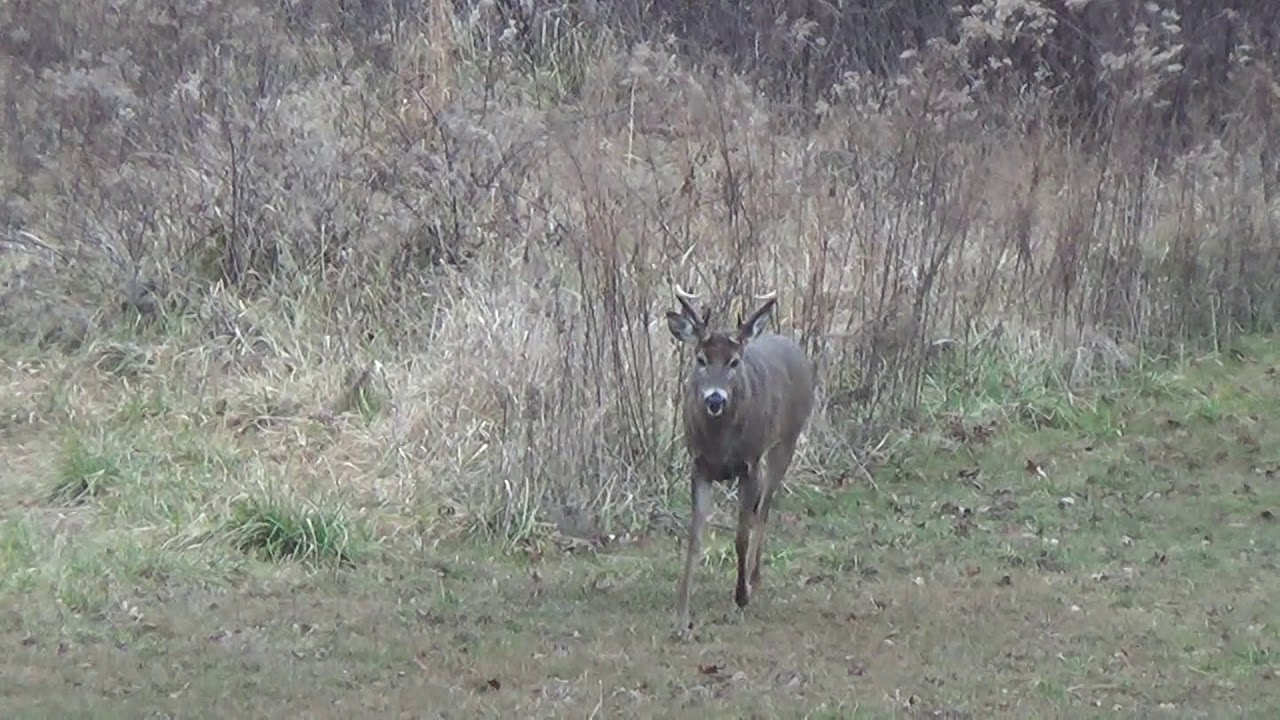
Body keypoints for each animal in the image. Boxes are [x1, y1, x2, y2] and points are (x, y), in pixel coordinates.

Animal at [664, 286, 817, 638]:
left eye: (734, 362)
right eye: (701, 359)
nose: (715, 399)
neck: (720, 444)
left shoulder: (750, 465)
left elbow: (741, 535)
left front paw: (741, 596)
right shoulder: (699, 467)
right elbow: (694, 538)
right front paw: (681, 616)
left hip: (785, 442)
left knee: (765, 509)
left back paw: (754, 580)